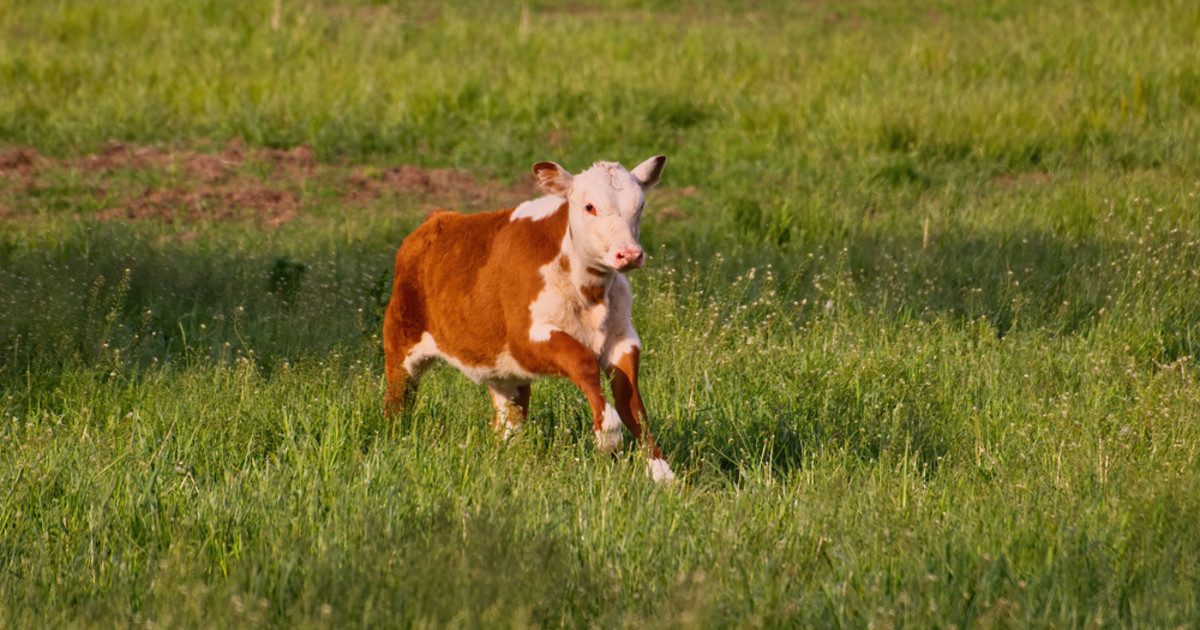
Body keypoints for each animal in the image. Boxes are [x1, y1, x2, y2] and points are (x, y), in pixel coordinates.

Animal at [382, 156, 675, 481]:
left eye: (641, 205)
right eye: (589, 206)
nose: (630, 254)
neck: (591, 294)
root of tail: (437, 218)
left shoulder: (623, 339)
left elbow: (633, 406)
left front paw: (662, 473)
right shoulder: (526, 338)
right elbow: (583, 361)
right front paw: (607, 435)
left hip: (502, 369)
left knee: (508, 416)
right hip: (400, 340)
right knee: (398, 400)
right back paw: (394, 439)